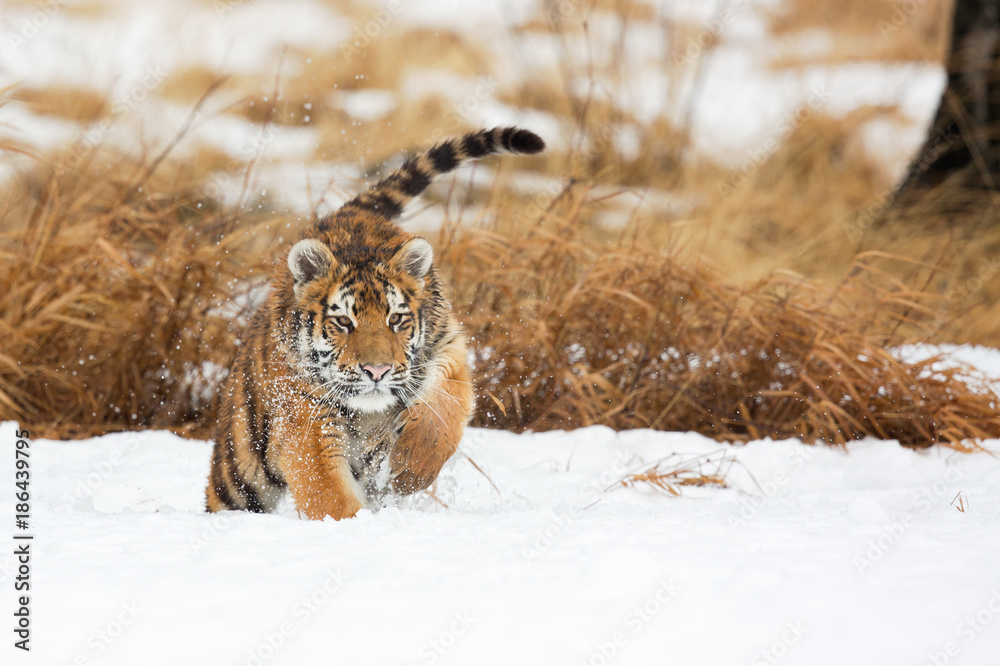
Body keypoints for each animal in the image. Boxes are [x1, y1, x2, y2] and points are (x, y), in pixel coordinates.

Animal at [205, 126, 545, 520]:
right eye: (343, 321)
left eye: (395, 318)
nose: (377, 371)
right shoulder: (304, 416)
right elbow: (327, 492)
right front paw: (355, 523)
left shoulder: (448, 345)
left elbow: (443, 411)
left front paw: (409, 471)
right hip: (238, 469)